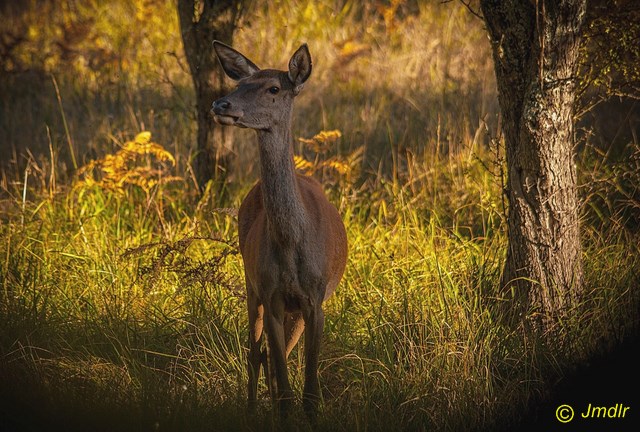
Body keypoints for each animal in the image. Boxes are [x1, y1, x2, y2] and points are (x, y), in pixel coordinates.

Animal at [210, 41, 348, 418]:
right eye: (241, 84)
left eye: (273, 88)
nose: (221, 104)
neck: (291, 244)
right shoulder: (270, 294)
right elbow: (284, 386)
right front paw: (277, 412)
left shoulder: (315, 300)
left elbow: (310, 393)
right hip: (251, 284)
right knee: (256, 353)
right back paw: (251, 410)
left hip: (294, 309)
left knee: (272, 356)